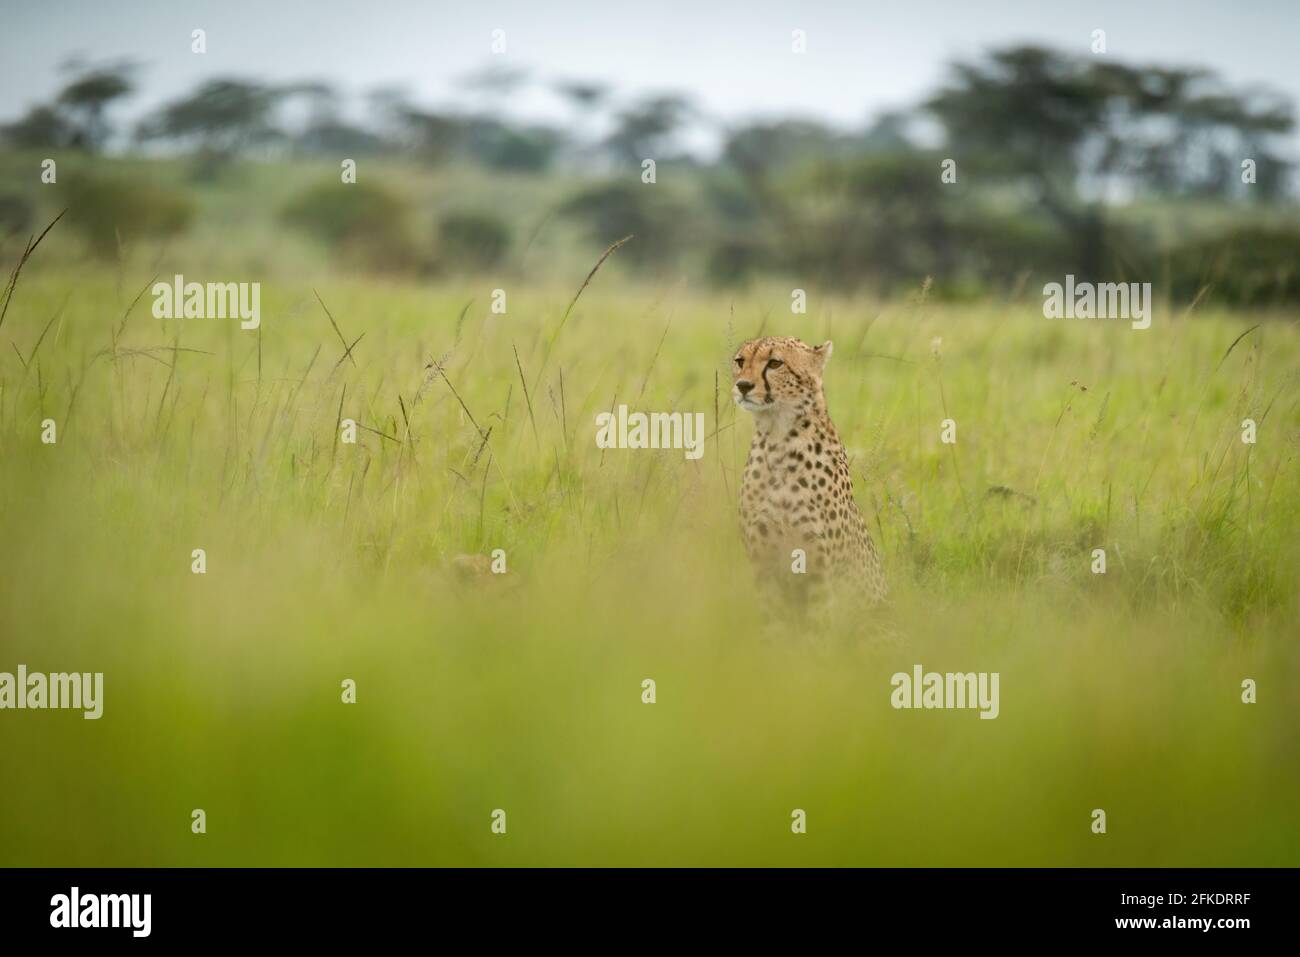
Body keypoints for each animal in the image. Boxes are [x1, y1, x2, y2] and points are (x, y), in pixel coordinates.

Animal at [731, 336, 887, 616]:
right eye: (740, 361)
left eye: (775, 363)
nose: (743, 385)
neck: (779, 437)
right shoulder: (764, 567)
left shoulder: (820, 574)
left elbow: (819, 623)